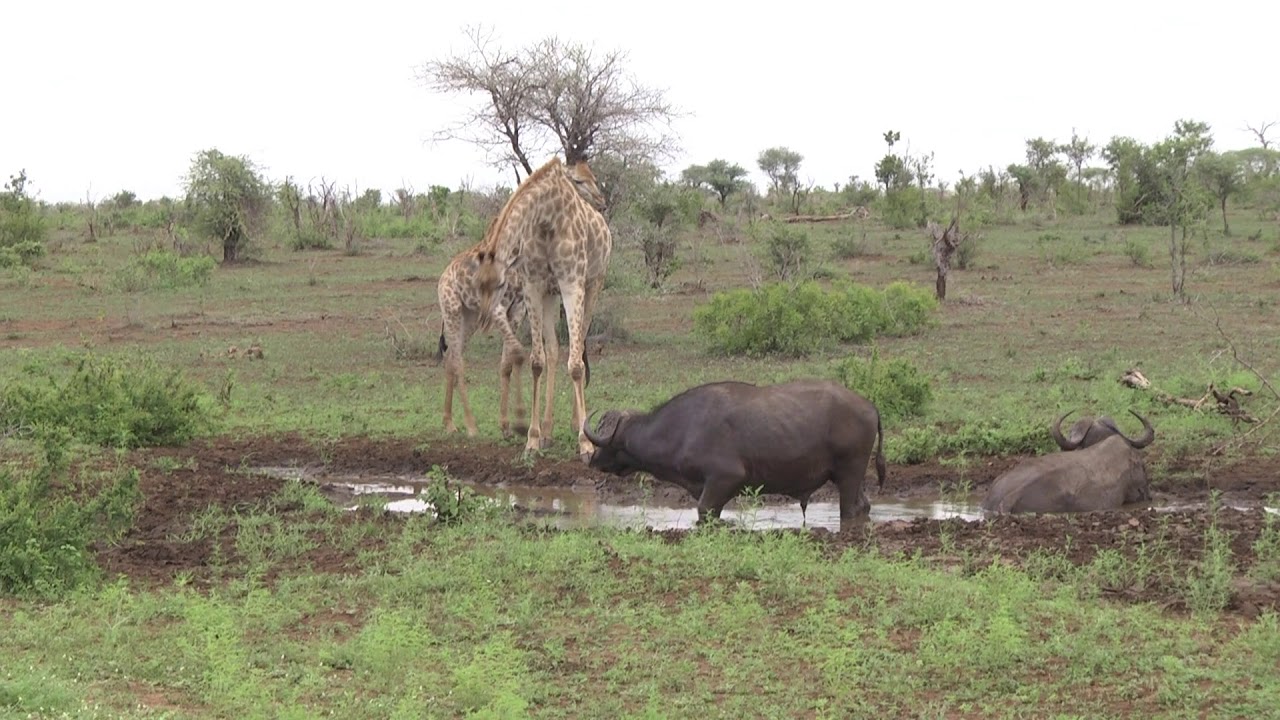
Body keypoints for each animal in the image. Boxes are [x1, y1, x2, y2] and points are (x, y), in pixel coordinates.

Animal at [475, 156, 611, 461]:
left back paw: (576, 423)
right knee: (553, 349)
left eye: (499, 283)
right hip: (551, 294)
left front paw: (585, 444)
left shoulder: (572, 281)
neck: (547, 220)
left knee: (578, 348)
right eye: (578, 180)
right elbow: (537, 360)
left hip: (593, 284)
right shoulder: (533, 285)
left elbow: (576, 364)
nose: (601, 200)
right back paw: (549, 430)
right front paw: (533, 439)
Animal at [582, 379, 886, 526]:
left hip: (849, 474)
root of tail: (870, 406)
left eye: (605, 443)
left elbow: (704, 510)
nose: (592, 460)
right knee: (864, 505)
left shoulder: (724, 479)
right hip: (849, 476)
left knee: (849, 510)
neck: (682, 428)